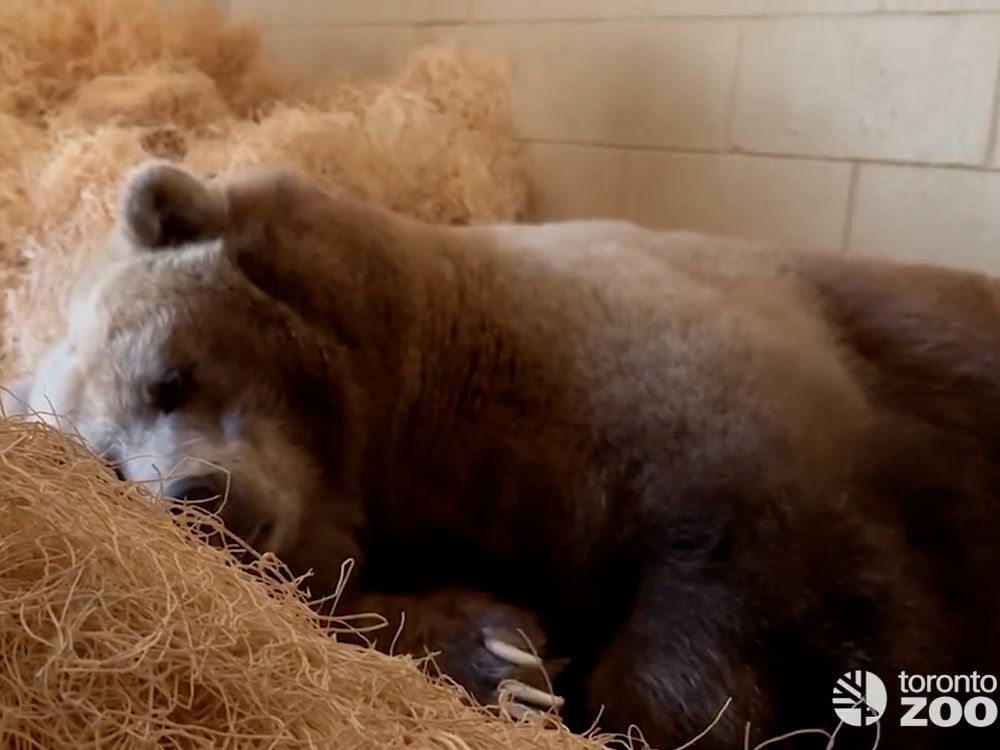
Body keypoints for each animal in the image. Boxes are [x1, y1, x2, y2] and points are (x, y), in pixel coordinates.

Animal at [4, 159, 1000, 749]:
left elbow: (749, 571)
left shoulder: (690, 408)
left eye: (169, 379)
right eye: (110, 465)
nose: (195, 496)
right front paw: (508, 663)